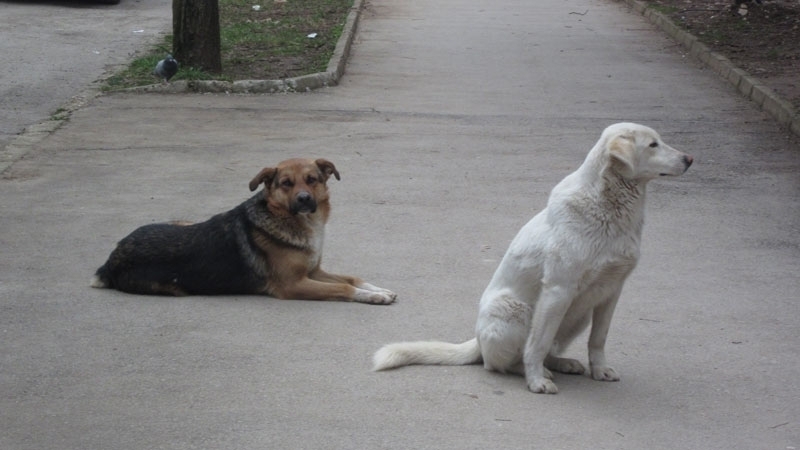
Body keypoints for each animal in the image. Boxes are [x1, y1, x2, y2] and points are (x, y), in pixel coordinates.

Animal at [90, 158, 396, 306]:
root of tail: (111, 258)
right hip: (173, 286)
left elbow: (353, 278)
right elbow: (343, 287)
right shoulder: (294, 284)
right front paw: (372, 297)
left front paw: (378, 289)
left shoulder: (313, 271)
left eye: (311, 180)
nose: (304, 200)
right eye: (286, 183)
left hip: (183, 222)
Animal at [376, 123, 692, 394]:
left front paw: (599, 370)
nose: (690, 159)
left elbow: (598, 339)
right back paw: (534, 371)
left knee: (548, 349)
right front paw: (537, 381)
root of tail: (477, 341)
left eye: (660, 141)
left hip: (579, 314)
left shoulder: (611, 291)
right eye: (653, 144)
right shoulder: (558, 290)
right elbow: (537, 345)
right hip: (516, 310)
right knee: (500, 363)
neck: (610, 210)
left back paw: (563, 363)